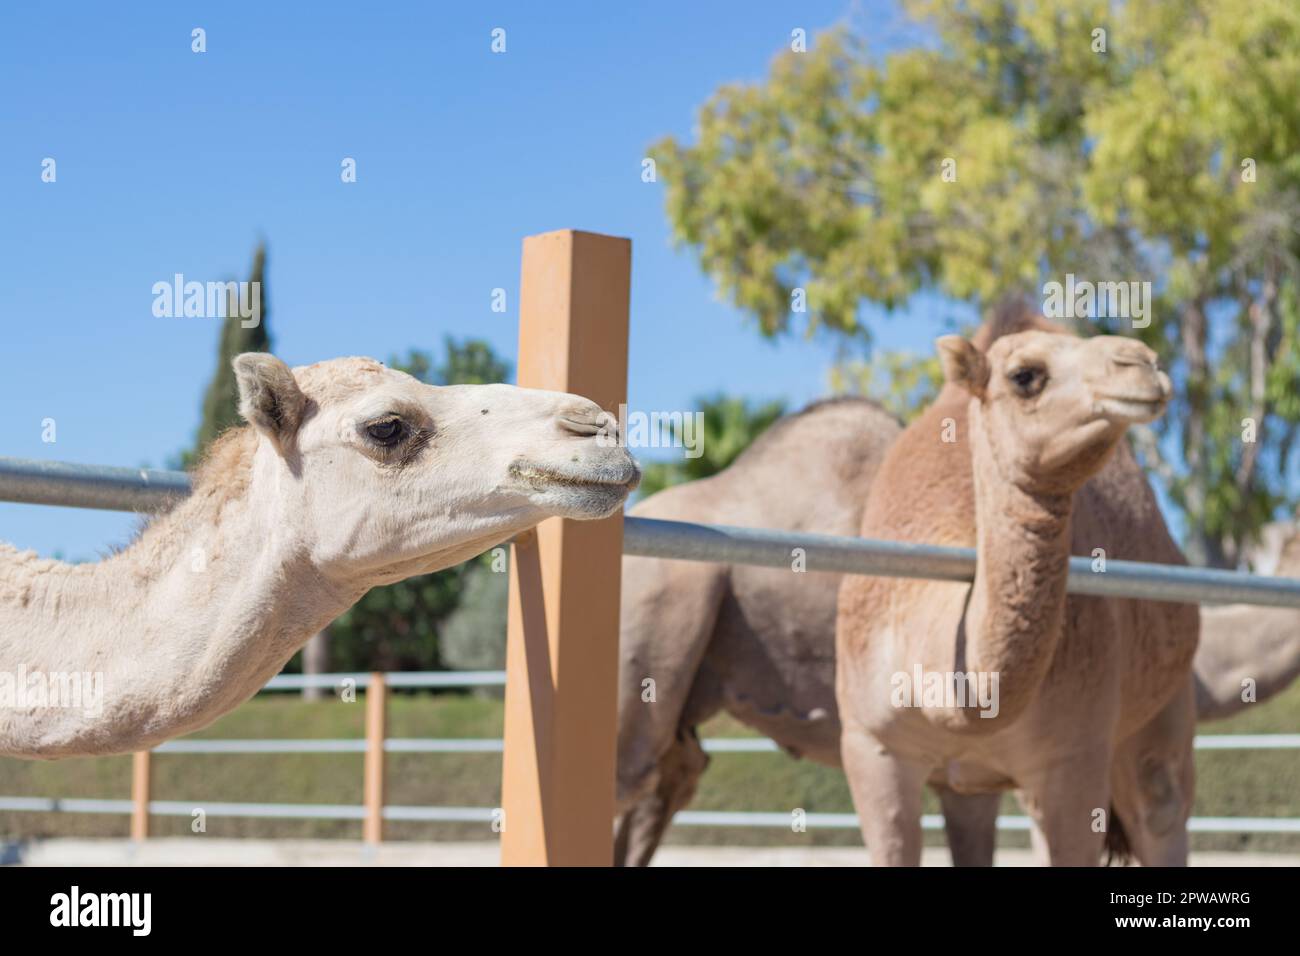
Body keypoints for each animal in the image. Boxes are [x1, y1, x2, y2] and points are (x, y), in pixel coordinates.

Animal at [835, 305, 1199, 866]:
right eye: (1025, 376)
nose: (1144, 363)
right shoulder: (870, 745)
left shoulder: (1073, 755)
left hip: (1166, 700)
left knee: (1160, 805)